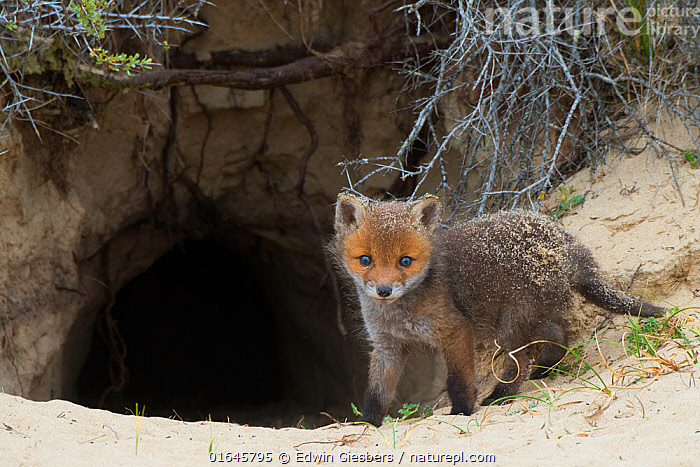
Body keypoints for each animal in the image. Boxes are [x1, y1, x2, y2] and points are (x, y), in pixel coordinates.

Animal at [331, 193, 663, 426]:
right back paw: (547, 369)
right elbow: (377, 393)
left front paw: (462, 412)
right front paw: (367, 425)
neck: (400, 311)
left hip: (512, 324)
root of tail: (567, 242)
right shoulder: (387, 346)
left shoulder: (455, 330)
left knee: (520, 363)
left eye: (405, 261)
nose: (383, 291)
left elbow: (458, 381)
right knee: (557, 334)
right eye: (365, 260)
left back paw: (501, 396)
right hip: (527, 317)